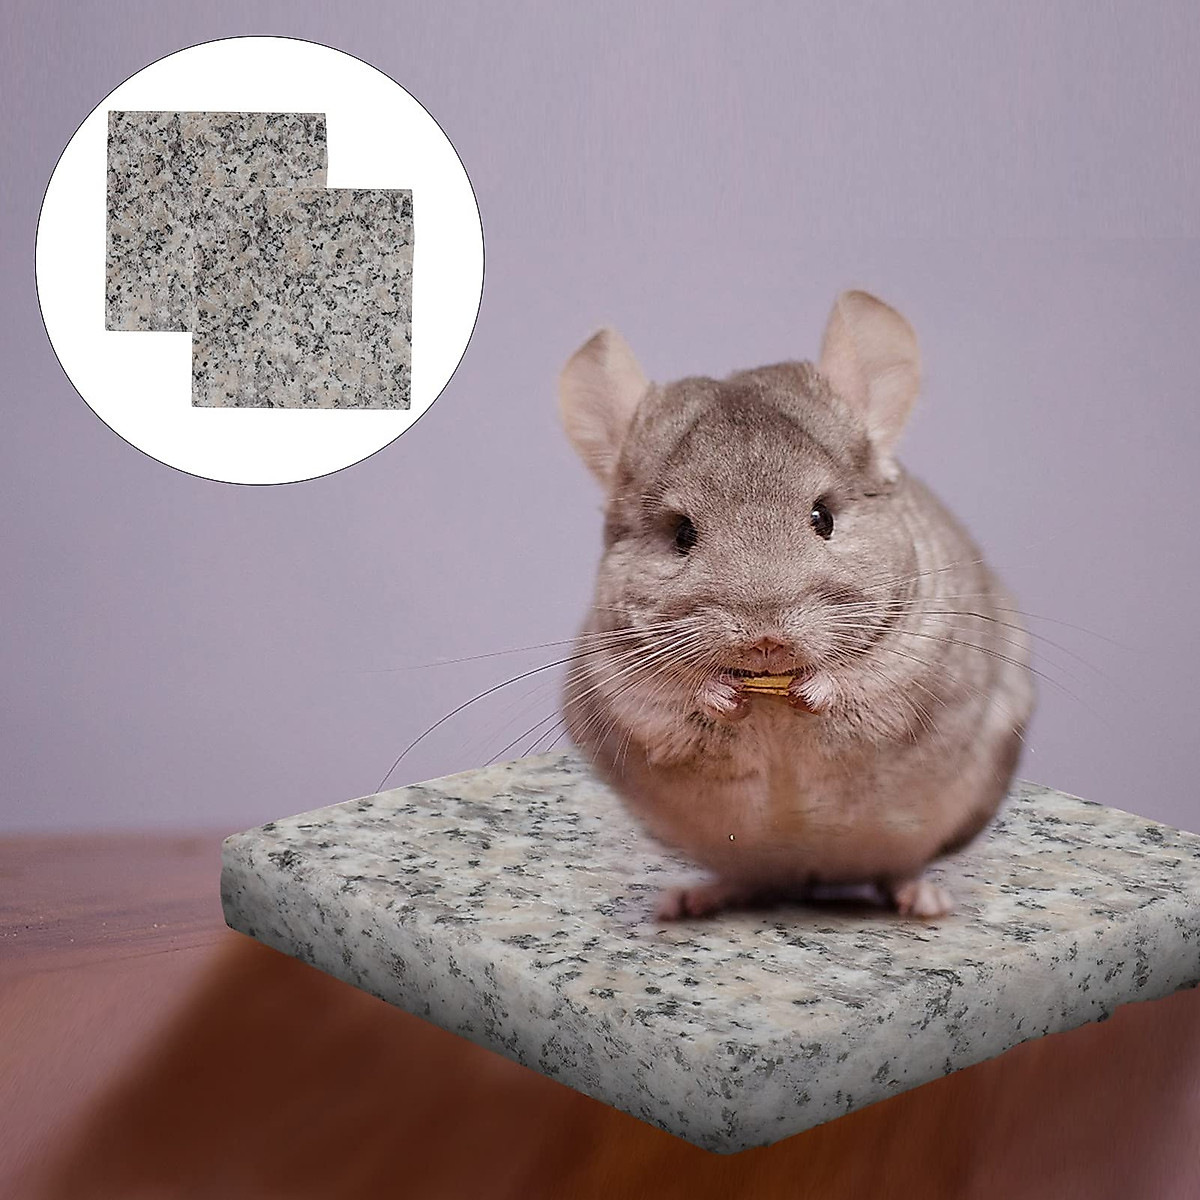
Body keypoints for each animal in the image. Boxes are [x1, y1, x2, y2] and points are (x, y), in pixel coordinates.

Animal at [557, 290, 1035, 921]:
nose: (766, 635)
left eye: (822, 517)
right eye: (681, 534)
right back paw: (689, 899)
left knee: (895, 871)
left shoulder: (912, 671)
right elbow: (679, 704)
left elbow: (858, 690)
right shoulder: (629, 693)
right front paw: (721, 694)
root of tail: (812, 876)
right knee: (752, 882)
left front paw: (814, 689)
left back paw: (925, 901)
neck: (771, 704)